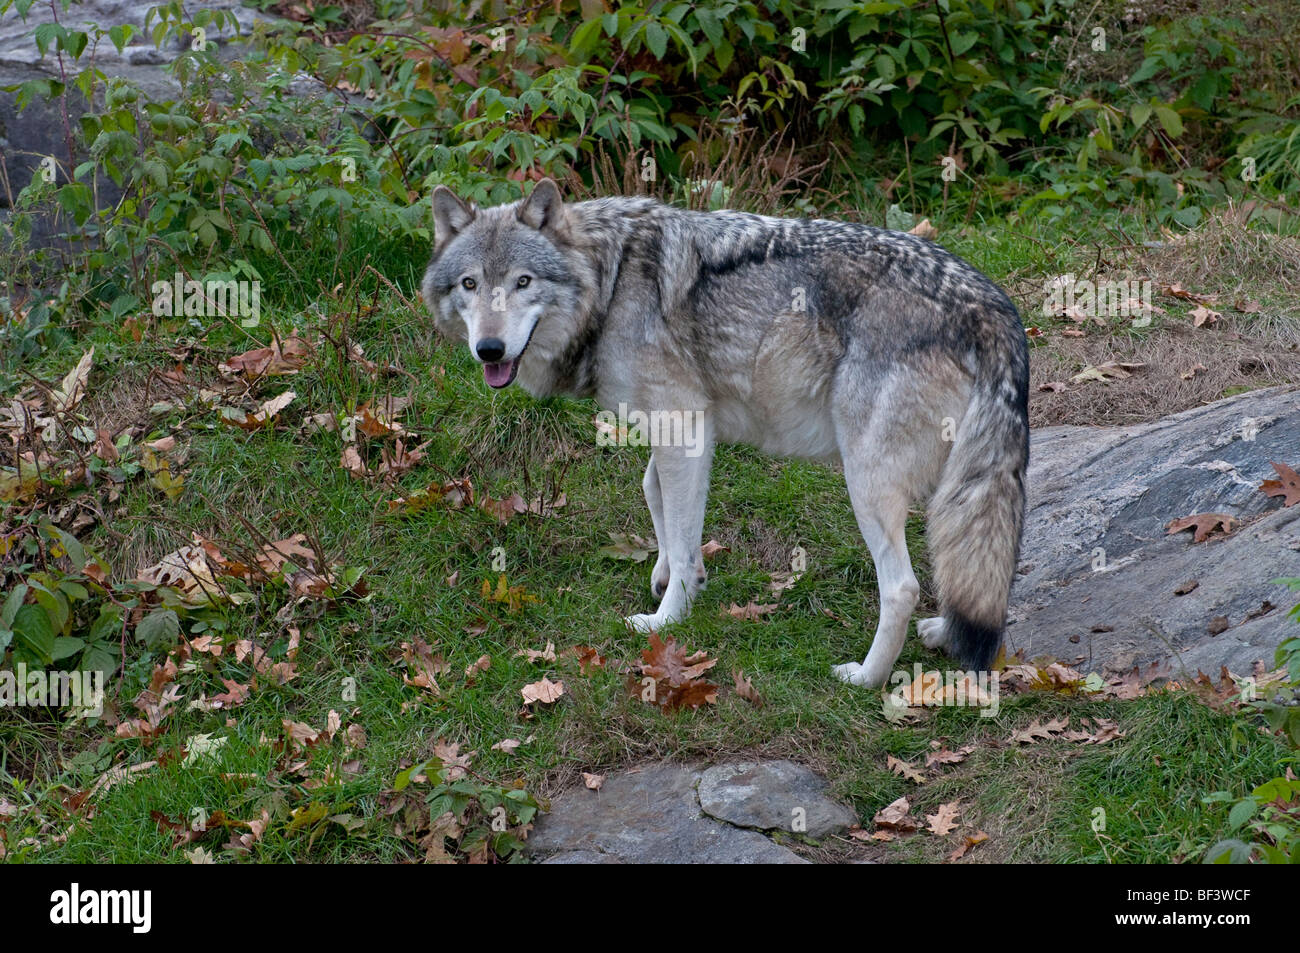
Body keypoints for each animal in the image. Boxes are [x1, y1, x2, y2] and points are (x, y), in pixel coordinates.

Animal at [422, 179, 1029, 687]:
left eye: (522, 282)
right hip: (948, 488)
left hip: (866, 483)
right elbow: (657, 498)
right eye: (470, 284)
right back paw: (943, 633)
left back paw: (866, 678)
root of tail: (992, 306)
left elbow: (682, 529)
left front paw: (666, 618)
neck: (610, 282)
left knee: (902, 588)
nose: (490, 350)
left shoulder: (682, 422)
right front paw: (667, 573)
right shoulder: (681, 426)